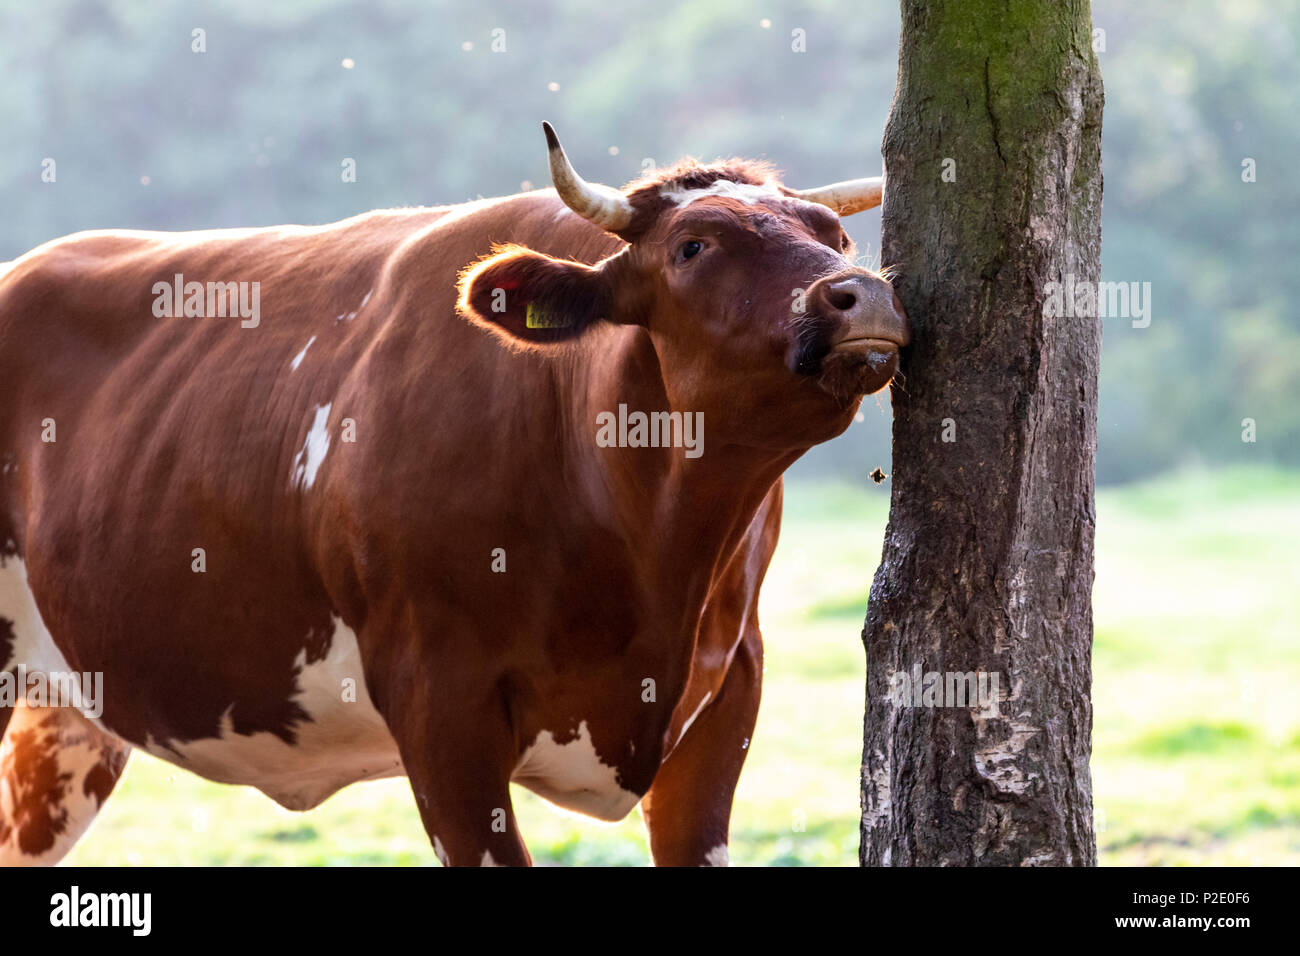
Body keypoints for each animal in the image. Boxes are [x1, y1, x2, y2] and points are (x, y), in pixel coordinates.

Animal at [0, 123, 909, 863]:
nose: (862, 292)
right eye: (693, 245)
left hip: (64, 721)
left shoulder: (727, 692)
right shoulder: (438, 707)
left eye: (835, 234)